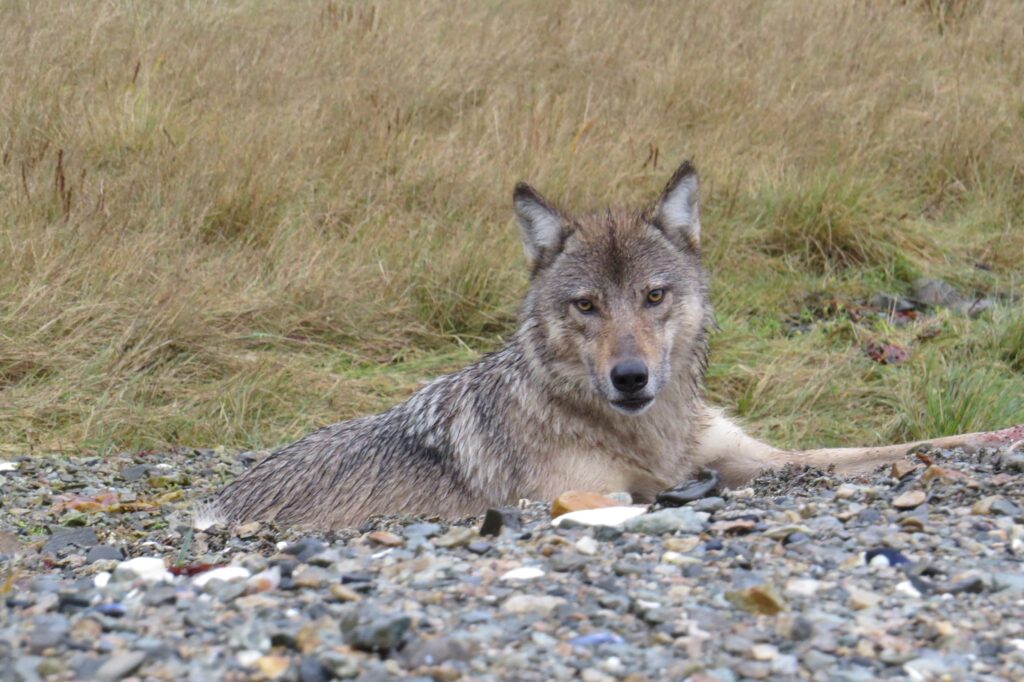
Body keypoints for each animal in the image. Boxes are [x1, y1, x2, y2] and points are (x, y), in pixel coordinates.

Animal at [214, 161, 1024, 530]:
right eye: (587, 306)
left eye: (654, 297)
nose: (630, 377)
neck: (647, 436)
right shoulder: (577, 493)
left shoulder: (754, 455)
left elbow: (889, 448)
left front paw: (998, 437)